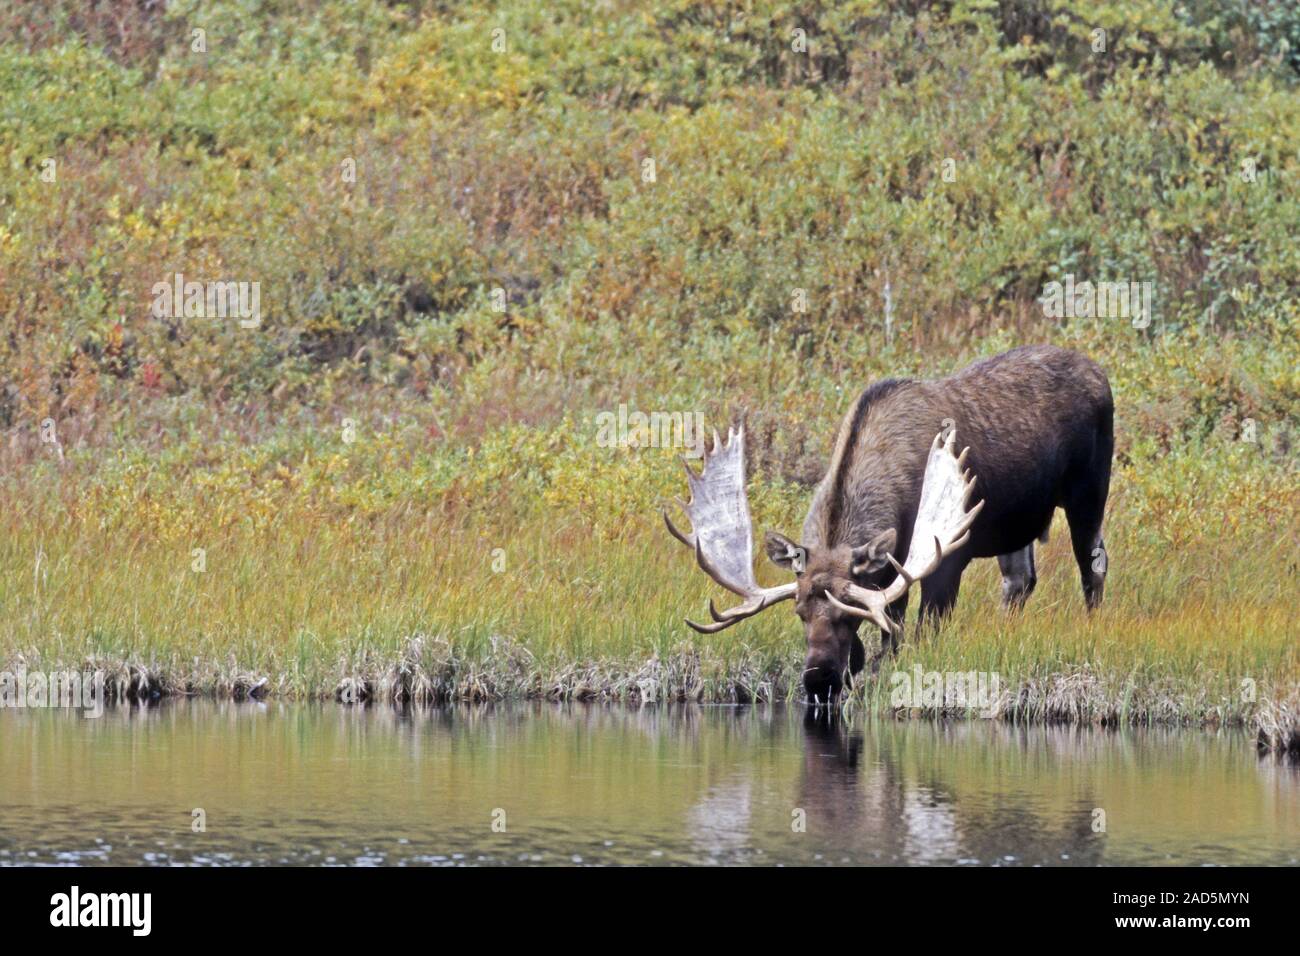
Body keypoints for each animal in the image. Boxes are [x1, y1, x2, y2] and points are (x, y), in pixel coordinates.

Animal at [664, 345, 1114, 702]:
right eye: (800, 613)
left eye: (848, 616)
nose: (818, 680)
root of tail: (1099, 371)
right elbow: (889, 629)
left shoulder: (947, 557)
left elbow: (921, 630)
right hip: (1020, 523)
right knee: (1020, 580)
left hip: (1089, 490)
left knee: (1092, 564)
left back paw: (1093, 626)